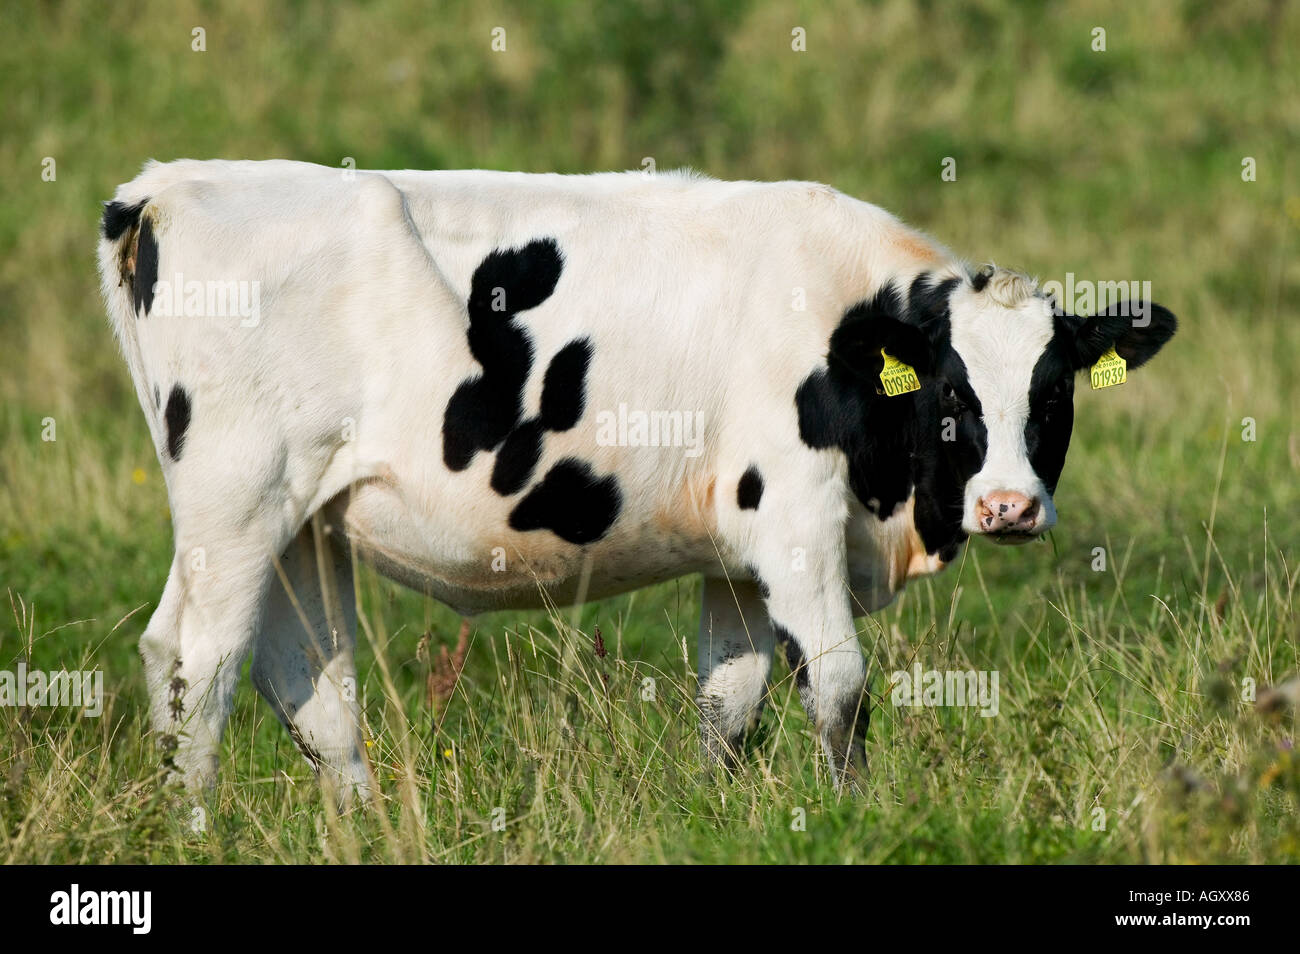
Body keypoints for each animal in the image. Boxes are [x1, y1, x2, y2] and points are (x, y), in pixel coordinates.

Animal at [98, 160, 1176, 797]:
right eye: (952, 391)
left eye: (1052, 394)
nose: (1008, 507)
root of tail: (169, 184)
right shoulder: (794, 522)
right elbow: (838, 688)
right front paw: (856, 818)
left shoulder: (737, 555)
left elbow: (730, 702)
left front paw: (720, 815)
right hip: (238, 500)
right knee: (199, 663)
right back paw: (195, 830)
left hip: (300, 518)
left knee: (302, 684)